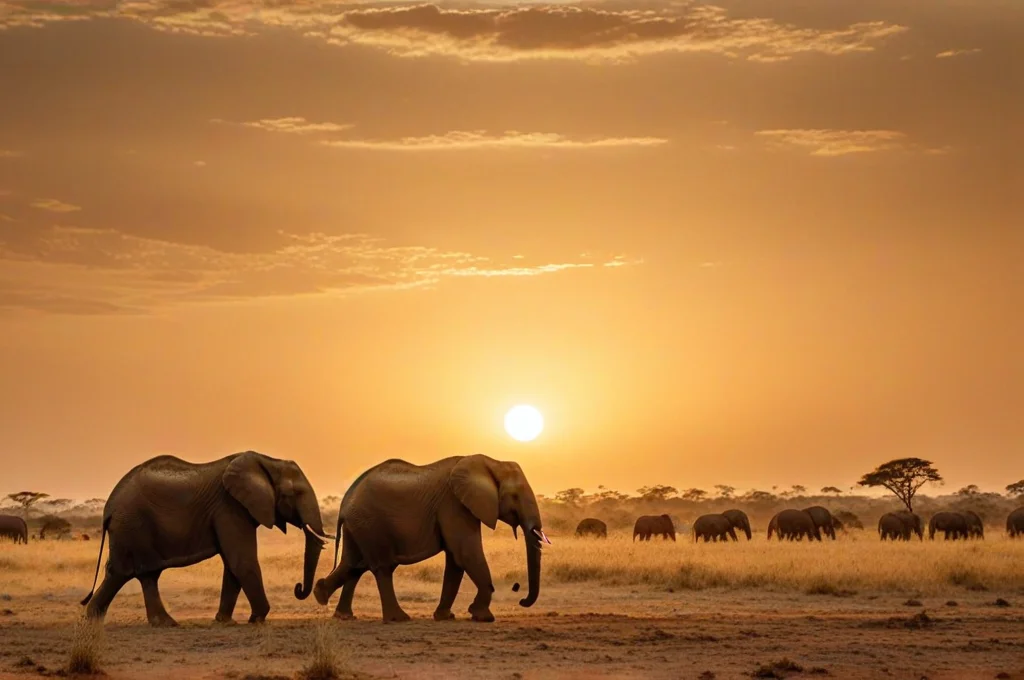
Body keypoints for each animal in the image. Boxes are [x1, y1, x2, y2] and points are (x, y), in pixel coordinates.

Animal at [80, 451, 332, 627]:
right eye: (295, 494)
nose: (298, 587)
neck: (268, 461)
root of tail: (109, 507)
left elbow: (233, 565)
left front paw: (225, 621)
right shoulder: (230, 507)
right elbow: (242, 561)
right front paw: (258, 619)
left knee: (131, 574)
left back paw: (97, 621)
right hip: (133, 524)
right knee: (134, 572)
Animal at [313, 454, 549, 623]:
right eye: (515, 497)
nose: (520, 596)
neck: (491, 463)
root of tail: (345, 501)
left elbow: (456, 560)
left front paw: (445, 617)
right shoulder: (454, 504)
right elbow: (466, 553)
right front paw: (483, 617)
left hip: (360, 525)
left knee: (354, 564)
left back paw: (329, 601)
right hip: (369, 522)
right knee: (381, 566)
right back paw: (398, 619)